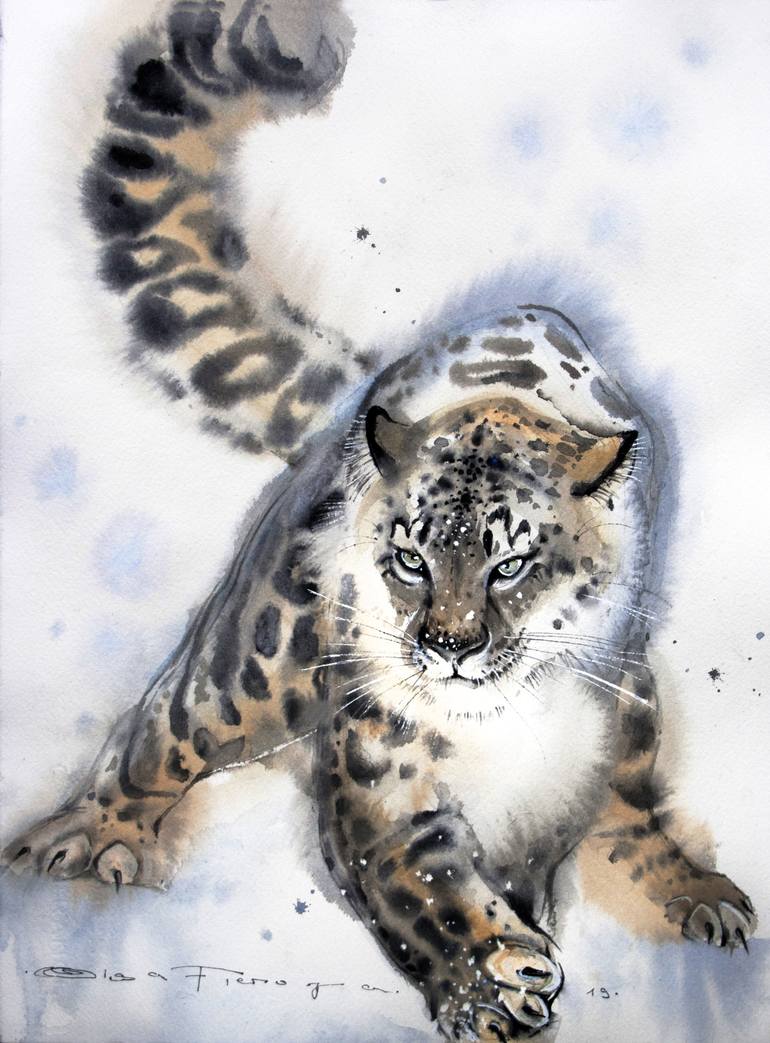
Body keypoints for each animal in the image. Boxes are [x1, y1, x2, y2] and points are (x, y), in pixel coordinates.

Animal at [2, 1, 757, 1039]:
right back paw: (85, 836)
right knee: (159, 728)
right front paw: (494, 982)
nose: (448, 644)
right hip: (251, 658)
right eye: (409, 558)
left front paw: (688, 892)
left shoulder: (616, 744)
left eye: (512, 564)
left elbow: (630, 824)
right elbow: (426, 885)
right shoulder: (381, 773)